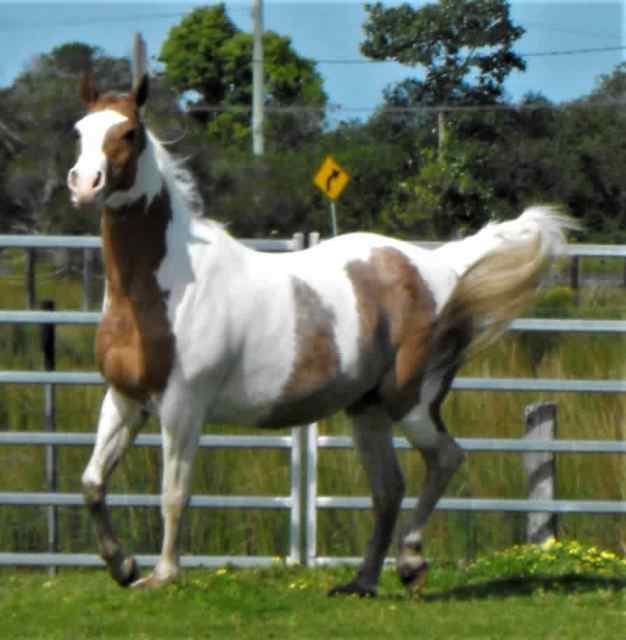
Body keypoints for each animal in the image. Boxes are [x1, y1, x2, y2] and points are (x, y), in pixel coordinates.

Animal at [67, 68, 575, 596]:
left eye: (129, 132)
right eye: (80, 130)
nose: (84, 184)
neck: (169, 285)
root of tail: (440, 265)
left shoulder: (184, 406)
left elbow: (174, 493)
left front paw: (162, 575)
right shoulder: (124, 399)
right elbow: (92, 483)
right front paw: (123, 565)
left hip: (412, 401)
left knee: (445, 459)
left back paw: (411, 562)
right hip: (368, 409)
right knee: (388, 488)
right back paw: (362, 581)